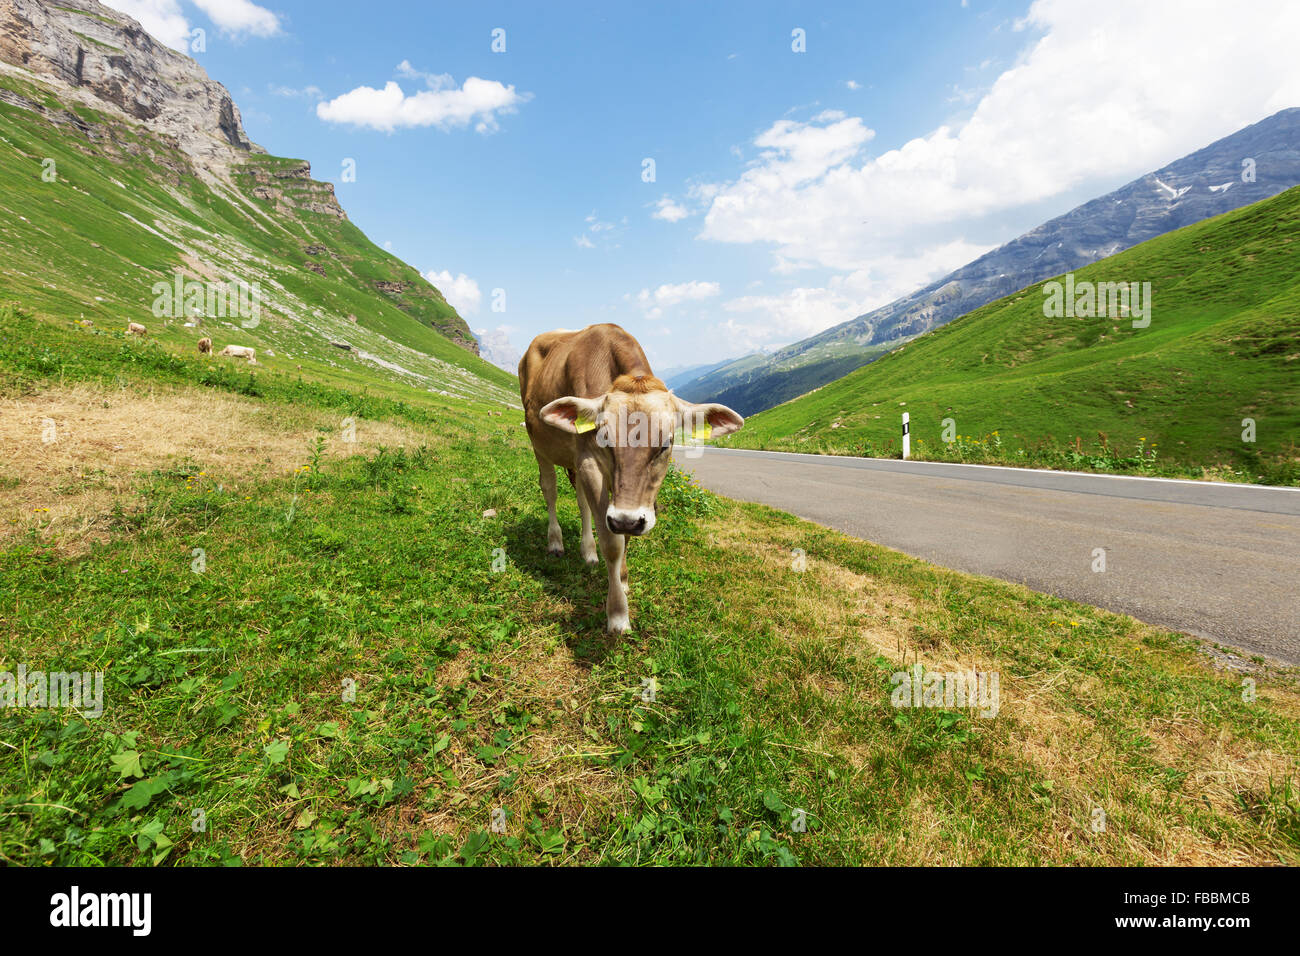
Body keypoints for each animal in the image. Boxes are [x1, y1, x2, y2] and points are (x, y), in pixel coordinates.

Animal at [520, 324, 743, 634]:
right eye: (604, 438)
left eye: (666, 443)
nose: (627, 520)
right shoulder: (590, 463)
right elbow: (612, 542)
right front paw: (617, 614)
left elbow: (620, 534)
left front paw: (623, 579)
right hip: (539, 444)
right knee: (550, 490)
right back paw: (555, 543)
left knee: (581, 502)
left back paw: (588, 552)